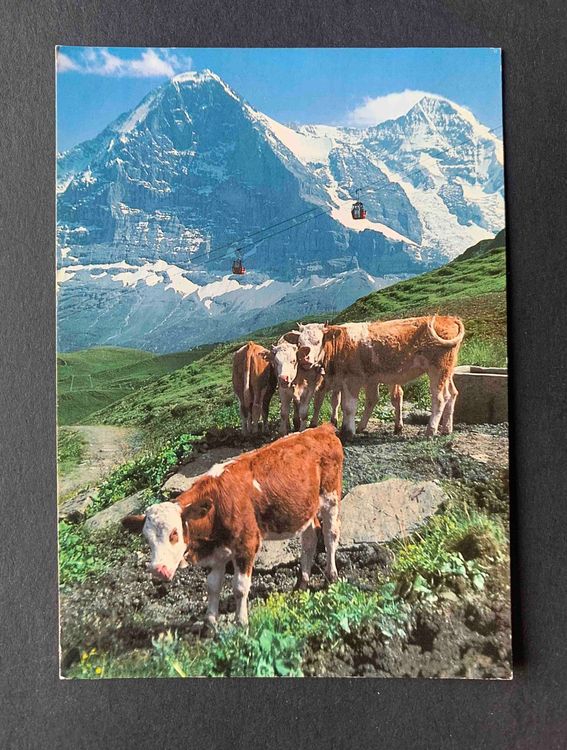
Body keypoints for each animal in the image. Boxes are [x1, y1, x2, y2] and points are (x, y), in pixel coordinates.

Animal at [122, 424, 343, 629]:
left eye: (174, 534)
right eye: (146, 539)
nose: (158, 571)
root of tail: (321, 429)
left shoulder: (247, 544)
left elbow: (239, 587)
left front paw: (241, 622)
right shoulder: (218, 550)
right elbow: (212, 586)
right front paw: (210, 623)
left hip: (331, 496)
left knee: (330, 535)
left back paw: (331, 576)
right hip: (306, 507)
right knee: (309, 539)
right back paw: (302, 583)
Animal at [293, 317, 464, 439]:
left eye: (317, 341)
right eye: (299, 342)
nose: (304, 358)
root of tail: (447, 318)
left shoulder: (353, 379)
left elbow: (349, 407)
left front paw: (348, 432)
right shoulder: (353, 381)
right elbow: (349, 404)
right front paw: (348, 428)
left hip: (437, 370)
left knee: (440, 398)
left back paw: (430, 430)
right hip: (448, 371)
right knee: (452, 394)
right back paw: (446, 429)